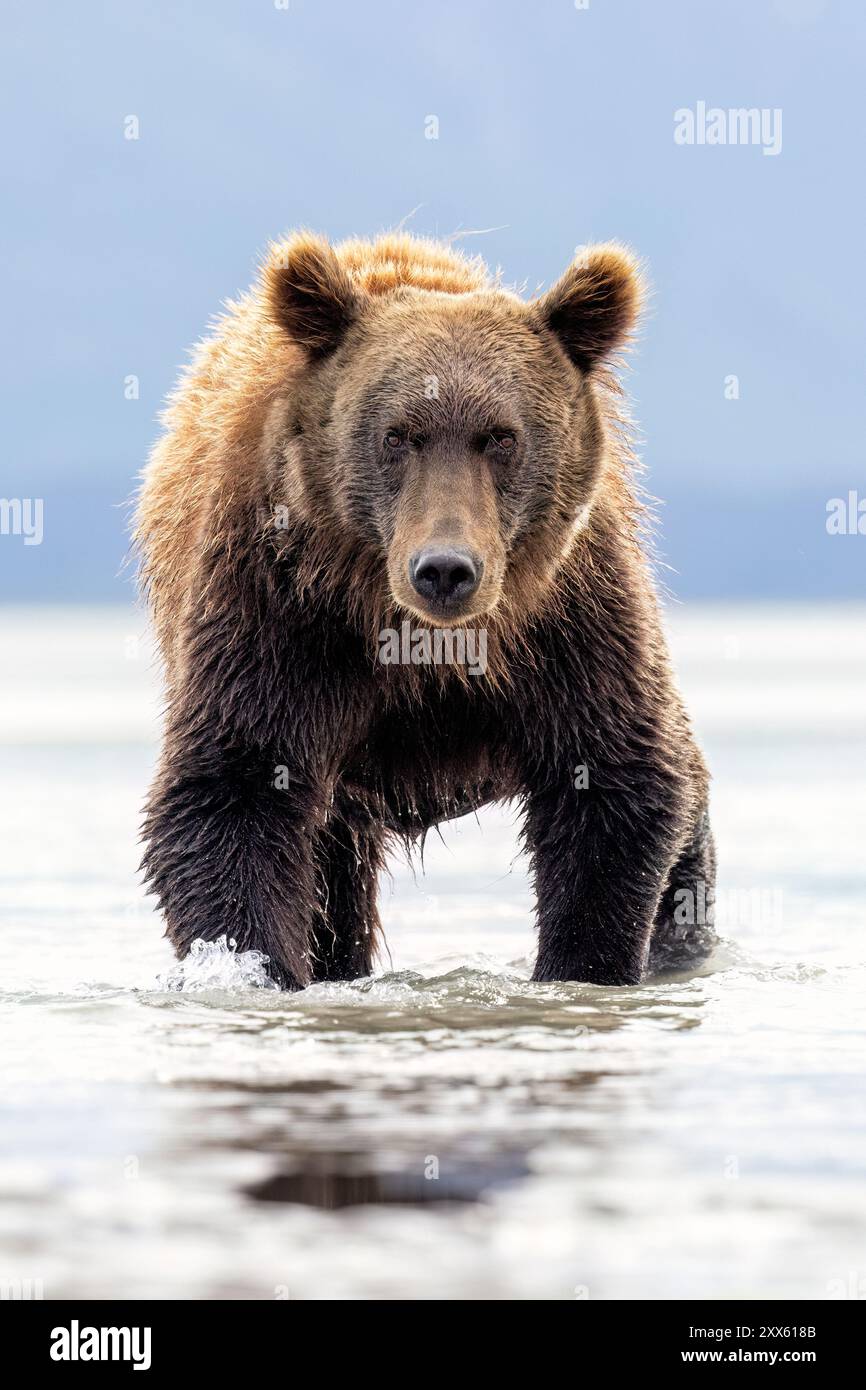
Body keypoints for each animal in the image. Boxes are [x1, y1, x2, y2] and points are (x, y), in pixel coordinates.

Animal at [135, 230, 715, 989]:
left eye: (501, 436)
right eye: (396, 435)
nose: (444, 569)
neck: (424, 646)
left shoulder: (571, 620)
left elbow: (613, 777)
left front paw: (580, 964)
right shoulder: (277, 612)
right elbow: (235, 789)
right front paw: (255, 968)